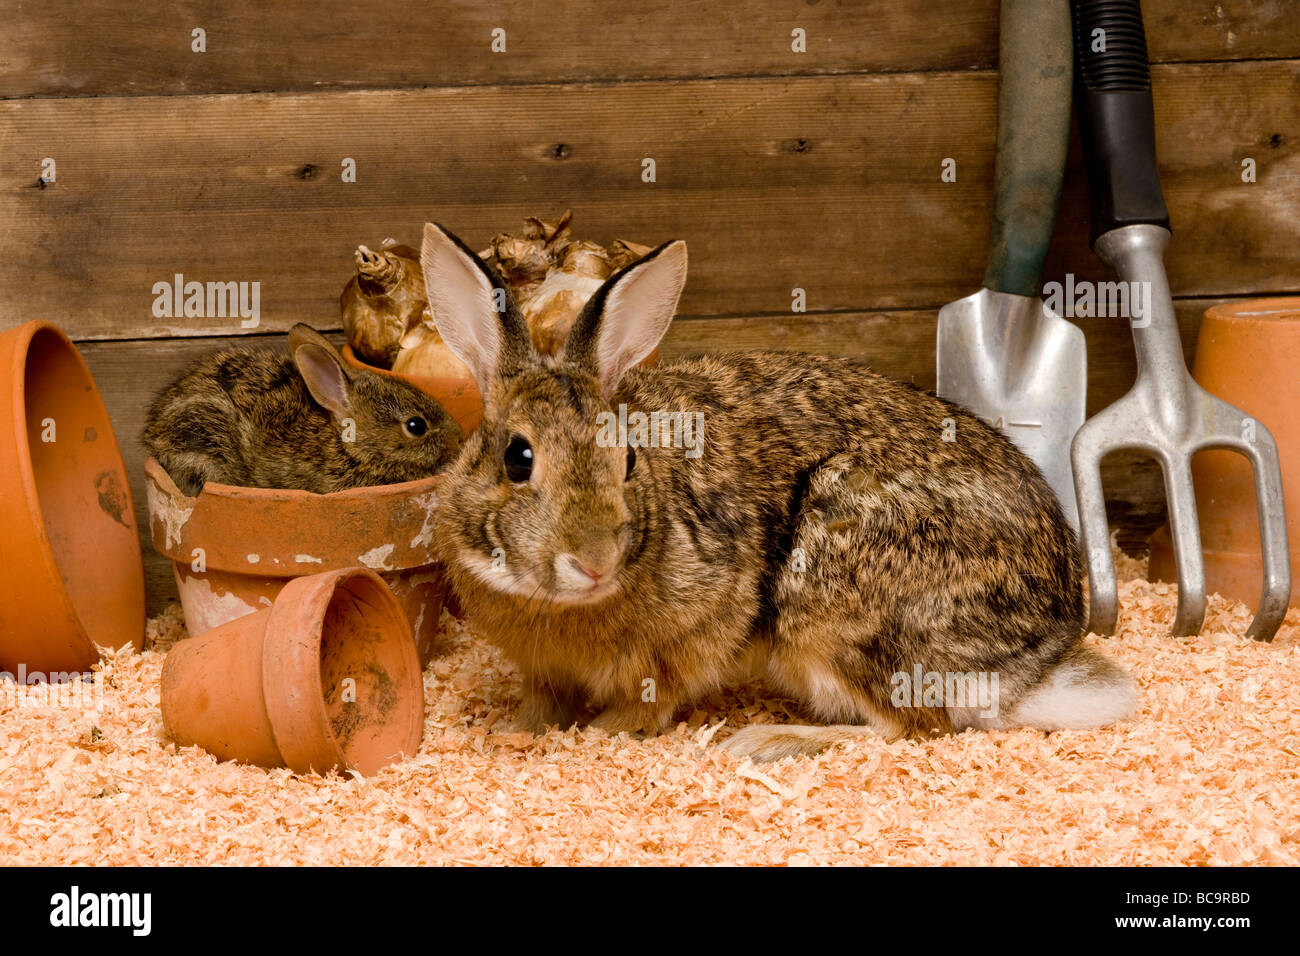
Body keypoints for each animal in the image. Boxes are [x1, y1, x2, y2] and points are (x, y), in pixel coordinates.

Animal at [420, 222, 1137, 762]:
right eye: (518, 460)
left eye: (627, 460)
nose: (595, 562)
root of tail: (1032, 665)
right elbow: (541, 703)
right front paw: (516, 731)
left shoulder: (696, 632)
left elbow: (655, 695)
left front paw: (604, 733)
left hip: (836, 608)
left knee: (909, 728)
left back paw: (766, 739)